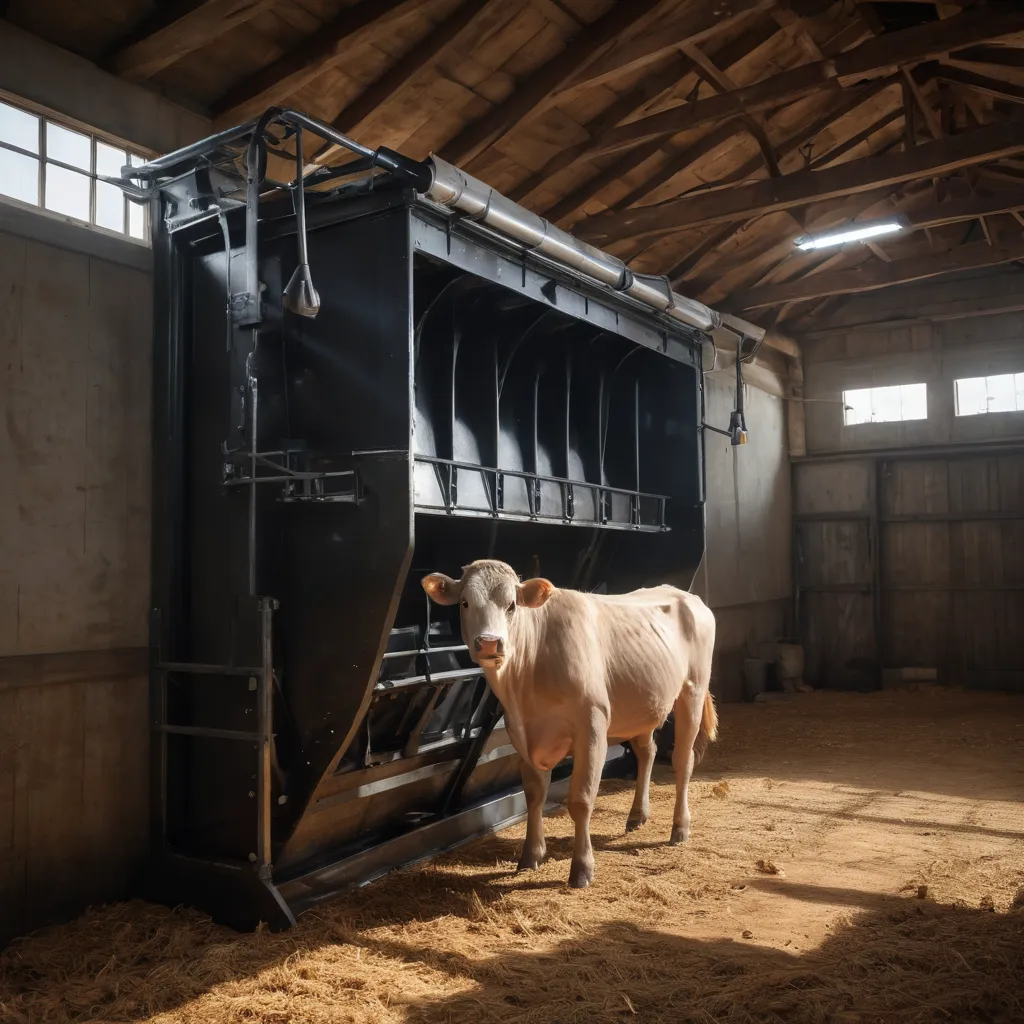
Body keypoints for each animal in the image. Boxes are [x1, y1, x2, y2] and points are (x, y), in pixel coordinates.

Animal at [422, 559, 717, 889]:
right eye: (464, 603)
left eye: (512, 605)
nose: (489, 643)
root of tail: (686, 595)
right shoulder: (520, 734)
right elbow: (534, 795)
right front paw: (530, 856)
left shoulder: (592, 726)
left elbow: (580, 800)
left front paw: (582, 868)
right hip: (645, 703)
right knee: (647, 752)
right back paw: (637, 815)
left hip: (692, 691)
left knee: (682, 760)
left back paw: (679, 828)